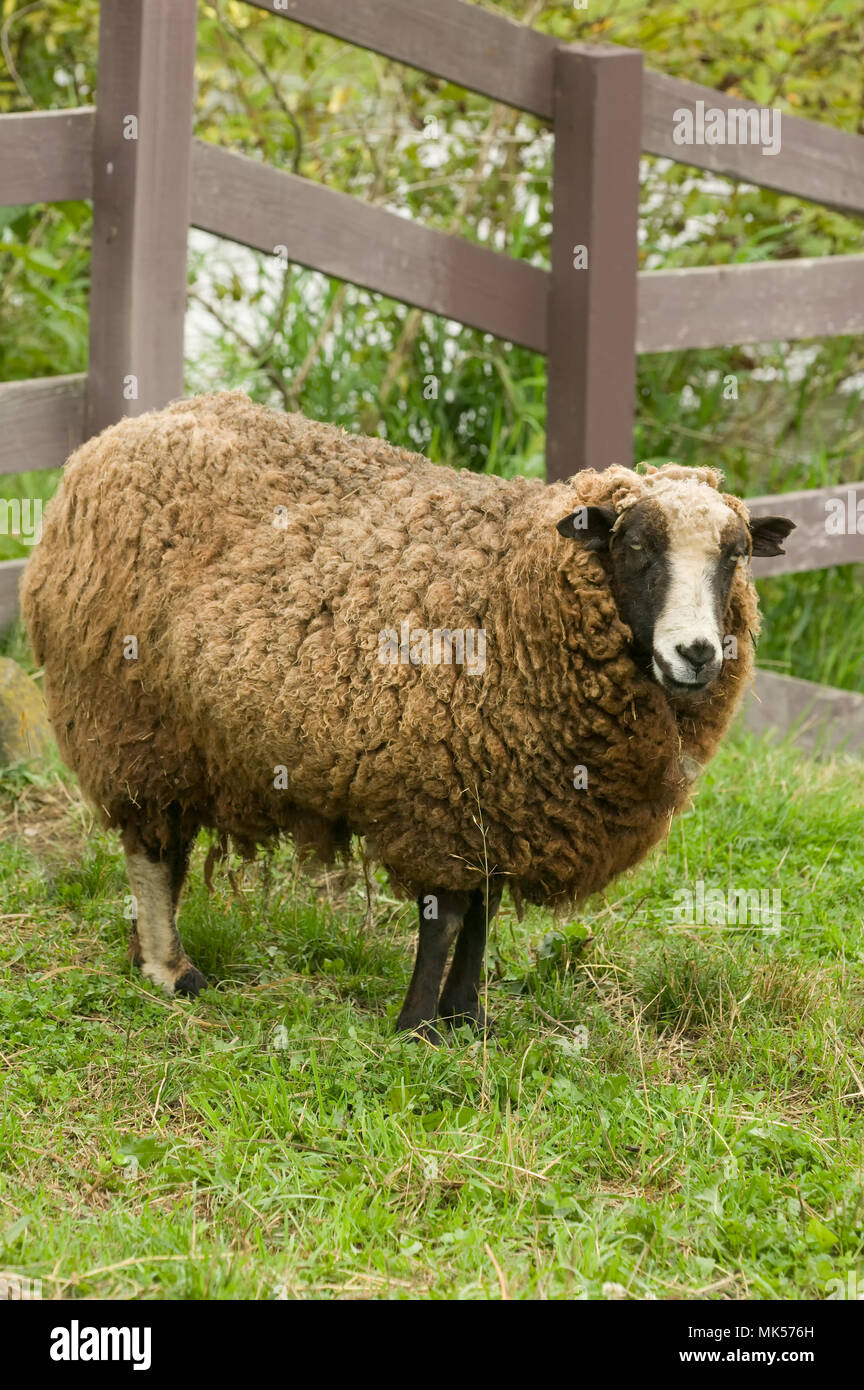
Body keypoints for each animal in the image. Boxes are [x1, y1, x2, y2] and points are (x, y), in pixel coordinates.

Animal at [21, 391, 794, 1038]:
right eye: (636, 546)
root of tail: (120, 432)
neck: (512, 596)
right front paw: (418, 1027)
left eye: (737, 555)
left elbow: (482, 915)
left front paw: (467, 1019)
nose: (696, 654)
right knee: (153, 852)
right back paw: (169, 969)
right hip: (134, 721)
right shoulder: (439, 796)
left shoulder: (500, 802)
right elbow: (447, 918)